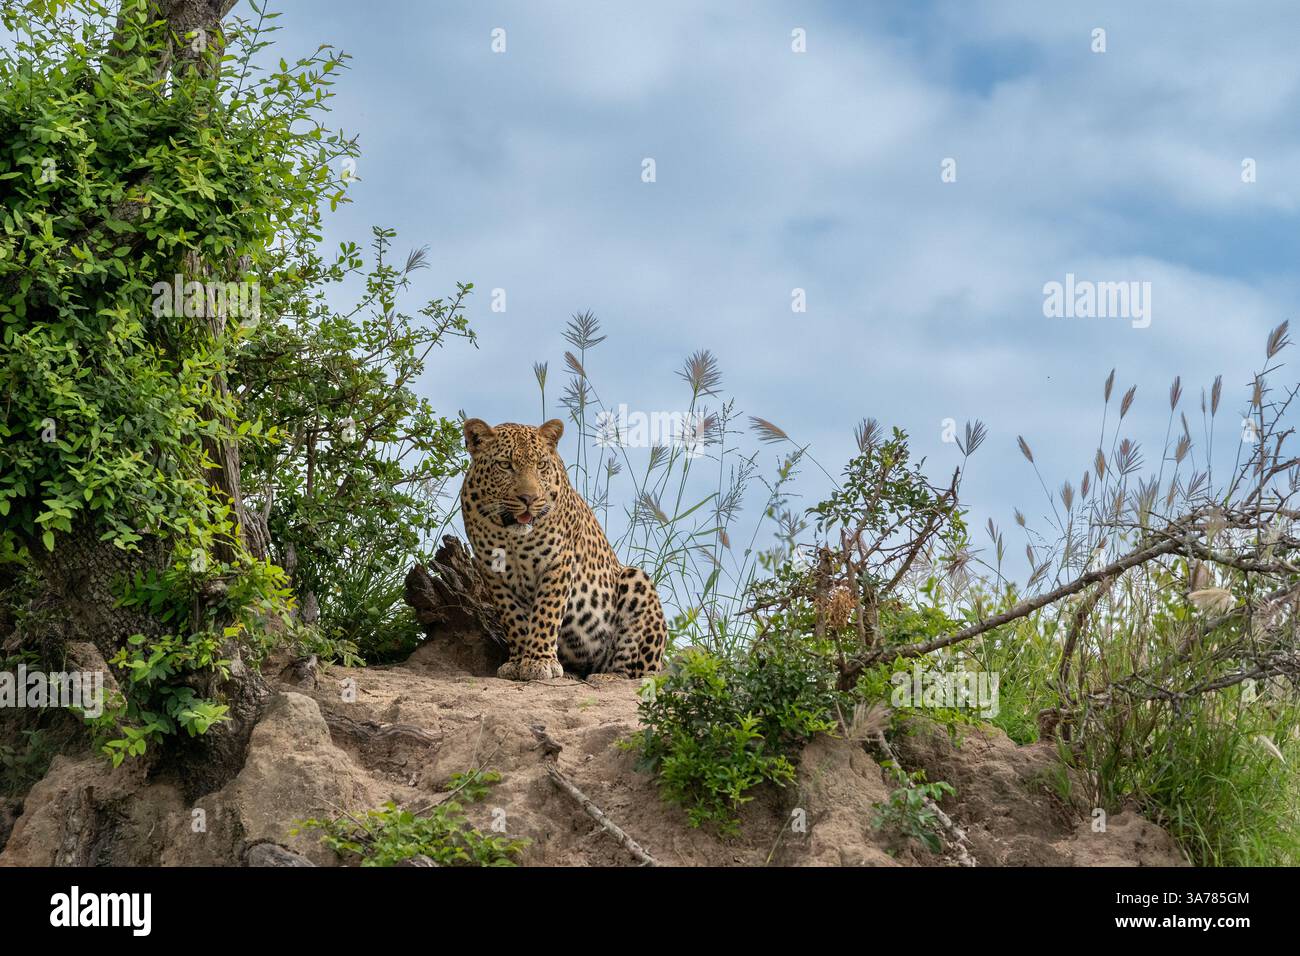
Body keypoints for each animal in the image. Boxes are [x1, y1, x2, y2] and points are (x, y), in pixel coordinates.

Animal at [460, 417, 668, 683]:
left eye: (540, 465)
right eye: (505, 465)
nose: (528, 498)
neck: (512, 535)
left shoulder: (557, 562)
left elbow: (546, 612)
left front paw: (539, 661)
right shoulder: (493, 572)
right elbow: (513, 618)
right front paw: (517, 662)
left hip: (635, 582)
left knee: (634, 673)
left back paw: (606, 677)